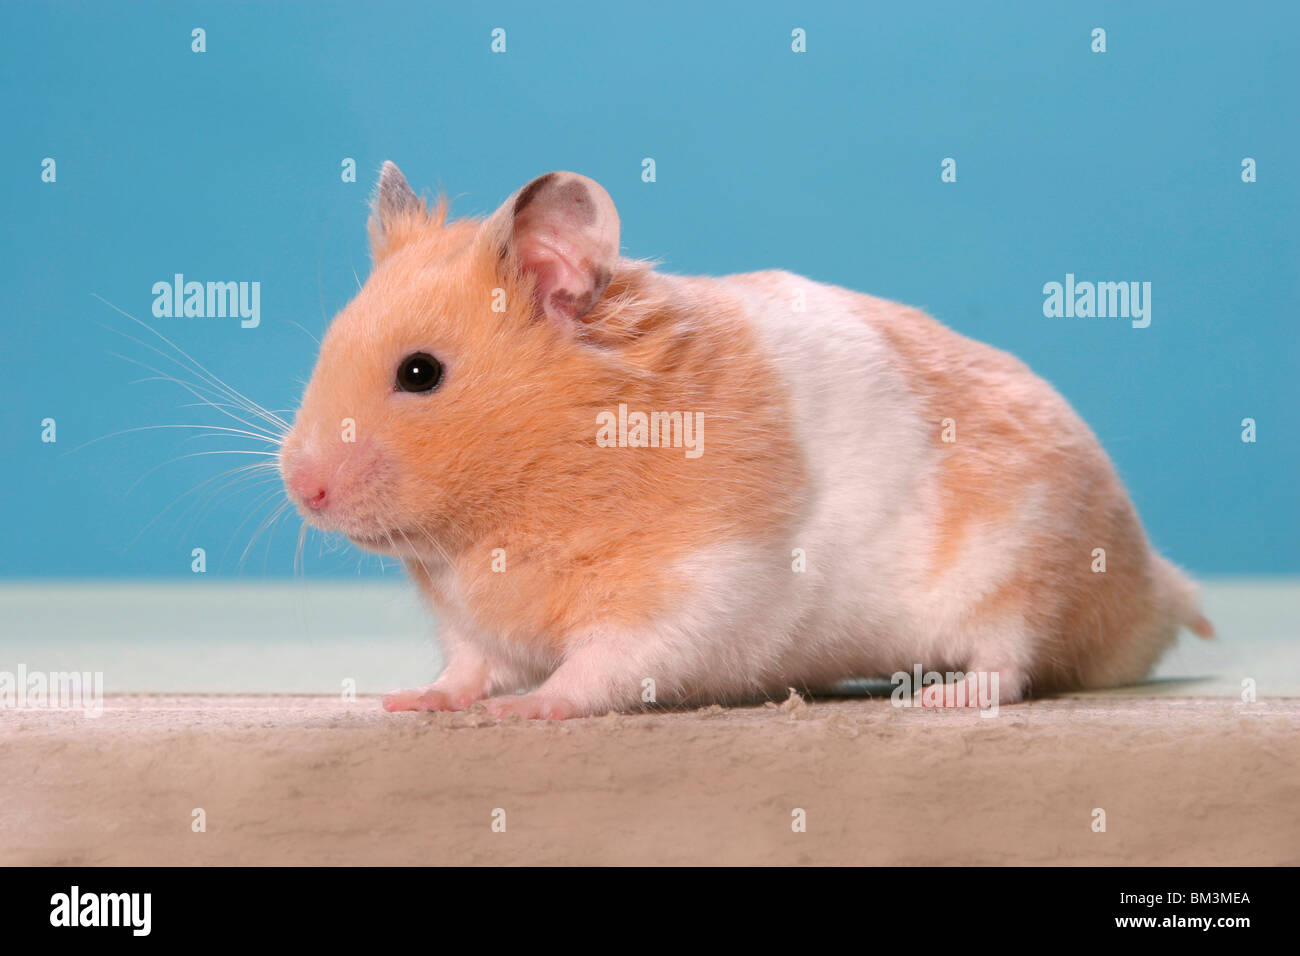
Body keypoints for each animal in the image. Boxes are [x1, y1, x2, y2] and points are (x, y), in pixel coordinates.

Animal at [280, 162, 1212, 718]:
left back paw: (938, 700)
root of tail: (1149, 588)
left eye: (420, 374)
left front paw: (525, 711)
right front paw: (410, 701)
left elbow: (598, 668)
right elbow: (466, 668)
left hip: (1021, 561)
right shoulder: (473, 625)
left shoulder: (694, 589)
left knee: (1010, 660)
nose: (302, 488)